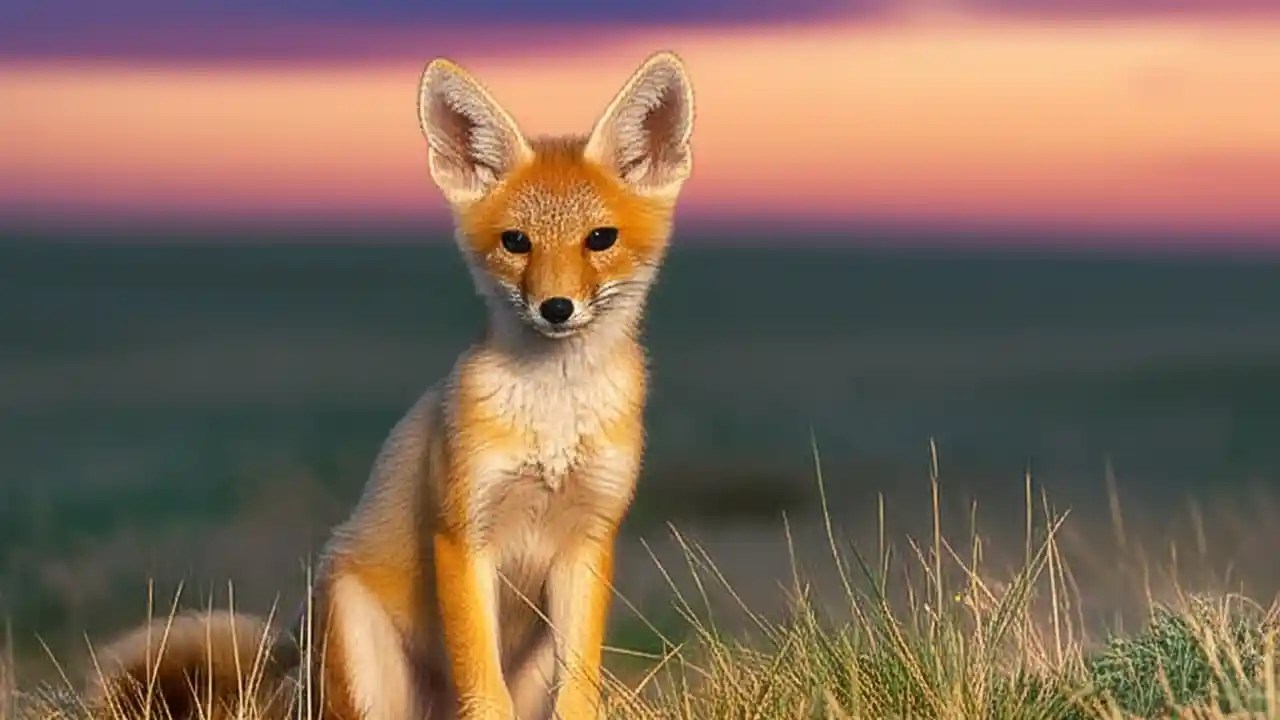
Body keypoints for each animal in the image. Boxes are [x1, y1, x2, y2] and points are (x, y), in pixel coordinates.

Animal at [86, 50, 695, 720]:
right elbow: (484, 689)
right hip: (357, 644)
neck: (552, 422)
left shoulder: (589, 539)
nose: (556, 308)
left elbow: (579, 691)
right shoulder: (460, 535)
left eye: (600, 239)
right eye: (516, 243)